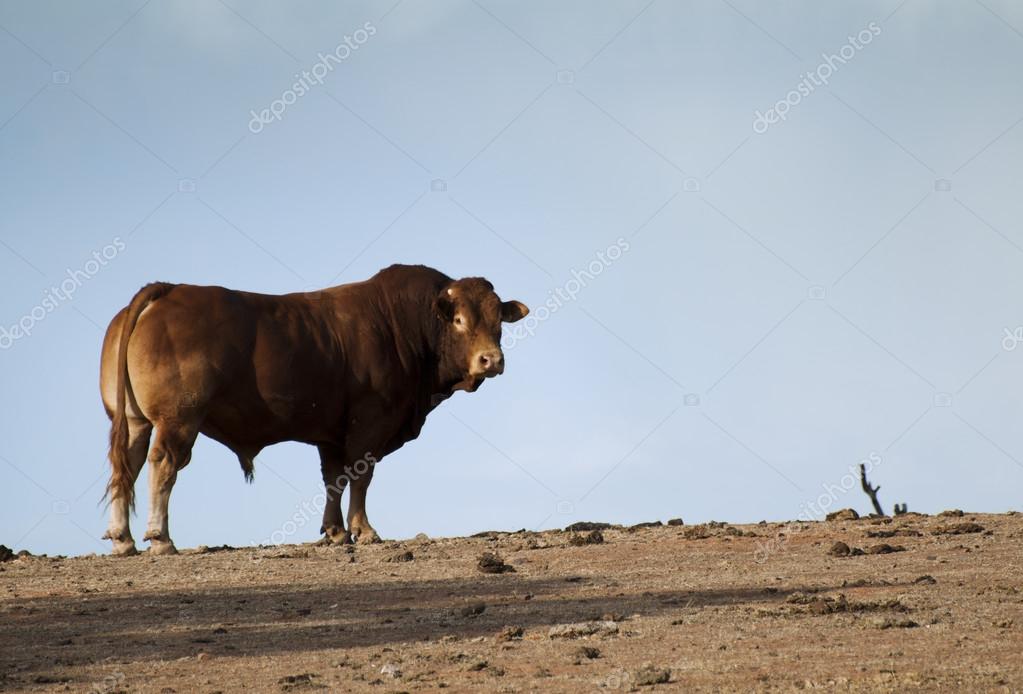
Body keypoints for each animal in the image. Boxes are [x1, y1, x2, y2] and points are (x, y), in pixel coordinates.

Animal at [99, 264, 529, 556]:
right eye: (458, 320)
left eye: (498, 320)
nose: (491, 360)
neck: (401, 325)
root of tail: (168, 290)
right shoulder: (368, 422)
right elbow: (360, 477)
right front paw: (363, 529)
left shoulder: (331, 432)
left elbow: (333, 479)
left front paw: (336, 531)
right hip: (178, 419)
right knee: (163, 465)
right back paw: (160, 538)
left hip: (135, 419)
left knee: (128, 463)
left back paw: (123, 538)